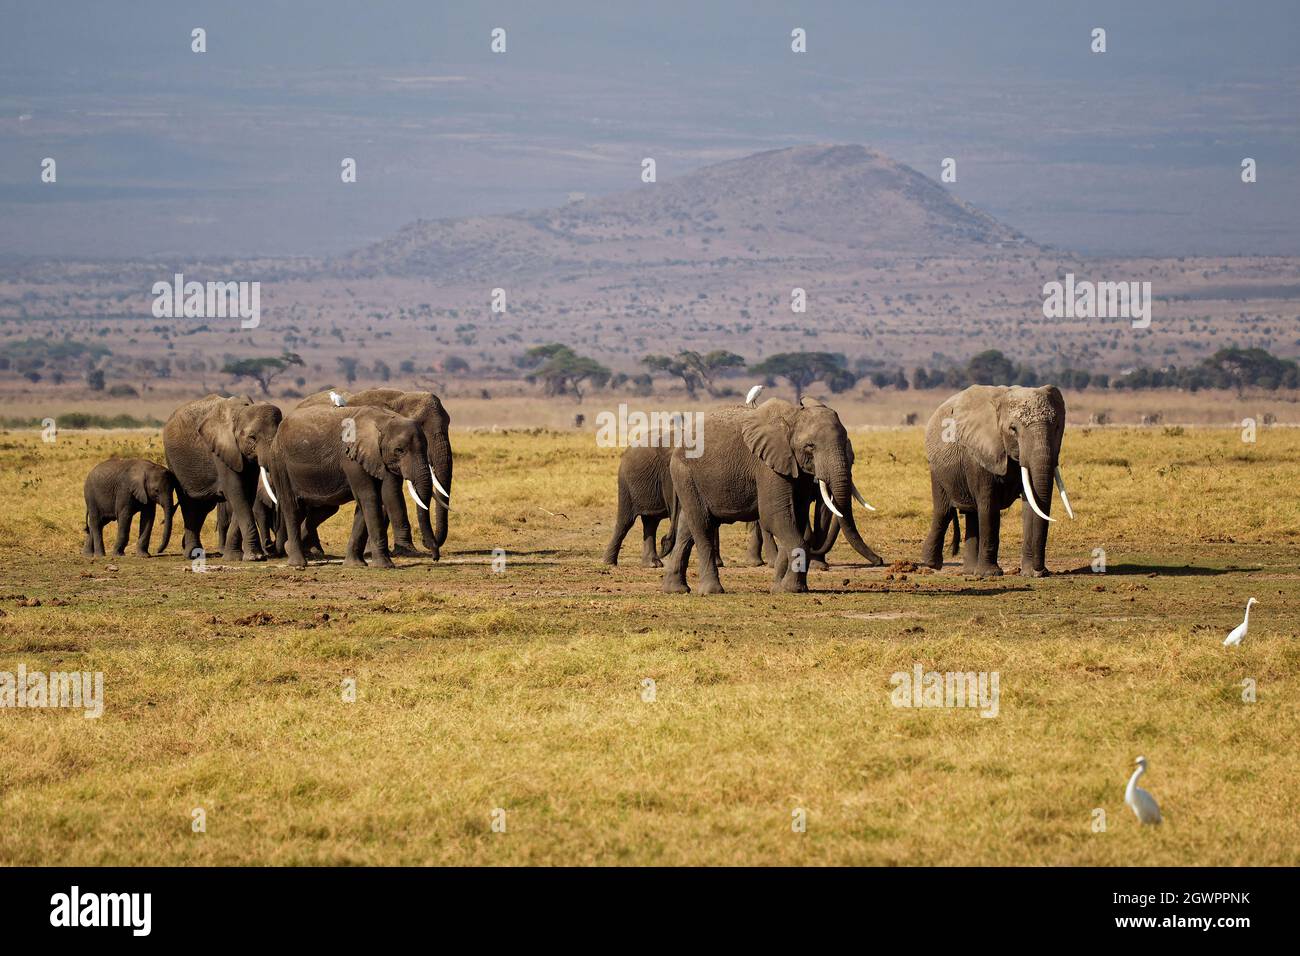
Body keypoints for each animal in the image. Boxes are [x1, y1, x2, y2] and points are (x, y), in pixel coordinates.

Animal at [162, 394, 283, 561]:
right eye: (252, 438)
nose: (270, 546)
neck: (242, 411)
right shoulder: (221, 451)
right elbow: (237, 493)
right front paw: (255, 557)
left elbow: (247, 494)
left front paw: (233, 557)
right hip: (174, 462)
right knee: (188, 503)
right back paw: (192, 554)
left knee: (203, 506)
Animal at [269, 405, 436, 569]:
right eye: (399, 450)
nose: (435, 557)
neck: (382, 419)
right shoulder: (351, 458)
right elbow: (370, 497)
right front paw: (384, 565)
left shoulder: (377, 458)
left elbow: (373, 500)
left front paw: (355, 565)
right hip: (279, 463)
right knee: (292, 506)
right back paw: (297, 563)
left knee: (325, 508)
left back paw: (288, 548)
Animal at [298, 389, 452, 558]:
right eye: (421, 424)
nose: (428, 545)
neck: (400, 398)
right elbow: (392, 492)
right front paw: (405, 551)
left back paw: (312, 550)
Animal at [662, 397, 883, 595]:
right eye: (810, 446)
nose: (880, 561)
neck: (793, 417)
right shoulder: (767, 465)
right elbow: (775, 516)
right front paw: (793, 589)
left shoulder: (797, 469)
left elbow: (796, 519)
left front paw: (779, 588)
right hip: (684, 473)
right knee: (703, 525)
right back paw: (711, 591)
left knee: (687, 527)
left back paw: (676, 589)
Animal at [921, 384, 1073, 577]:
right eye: (1013, 429)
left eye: (1057, 427)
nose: (1041, 571)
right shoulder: (980, 452)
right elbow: (989, 506)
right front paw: (991, 574)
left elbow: (1031, 505)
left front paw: (1030, 574)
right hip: (937, 468)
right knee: (944, 511)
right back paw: (932, 564)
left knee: (972, 513)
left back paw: (971, 571)